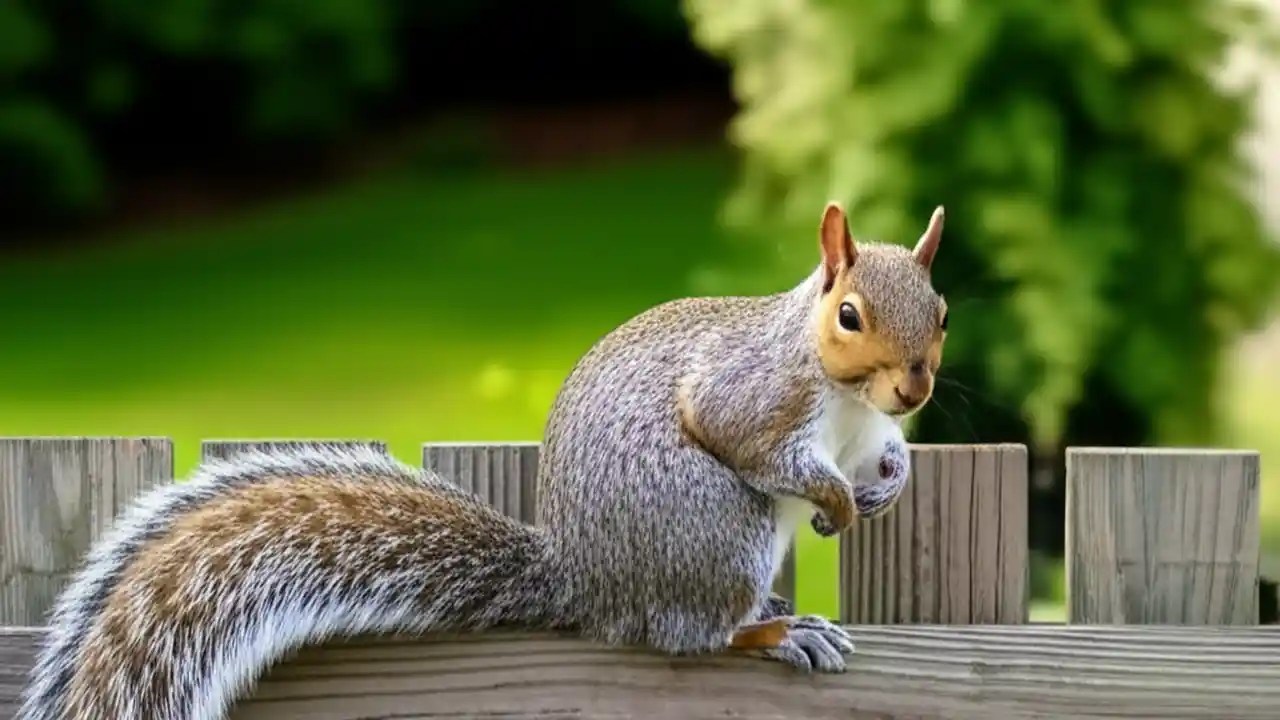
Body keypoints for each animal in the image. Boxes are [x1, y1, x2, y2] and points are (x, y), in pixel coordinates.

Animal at [17, 201, 947, 720]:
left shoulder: (873, 429)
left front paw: (886, 486)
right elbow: (745, 439)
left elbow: (887, 455)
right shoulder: (747, 392)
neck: (849, 401)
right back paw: (775, 630)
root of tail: (588, 584)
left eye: (940, 310)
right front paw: (833, 498)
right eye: (851, 316)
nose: (915, 385)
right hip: (719, 532)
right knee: (690, 634)